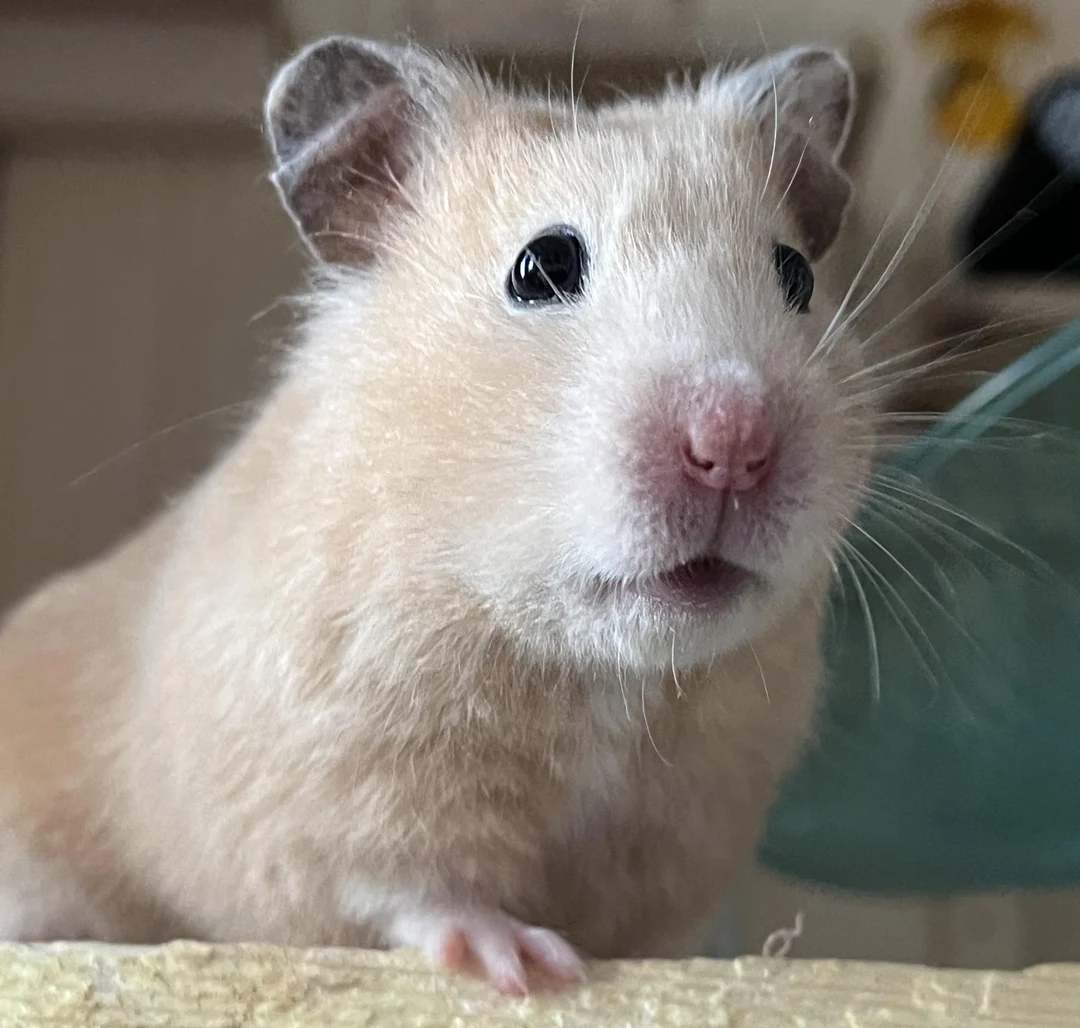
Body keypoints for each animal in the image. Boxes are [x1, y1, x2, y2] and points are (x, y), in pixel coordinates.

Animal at [0, 37, 872, 993]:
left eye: (796, 275)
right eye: (543, 267)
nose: (735, 444)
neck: (602, 675)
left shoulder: (683, 832)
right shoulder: (334, 778)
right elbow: (412, 887)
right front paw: (524, 963)